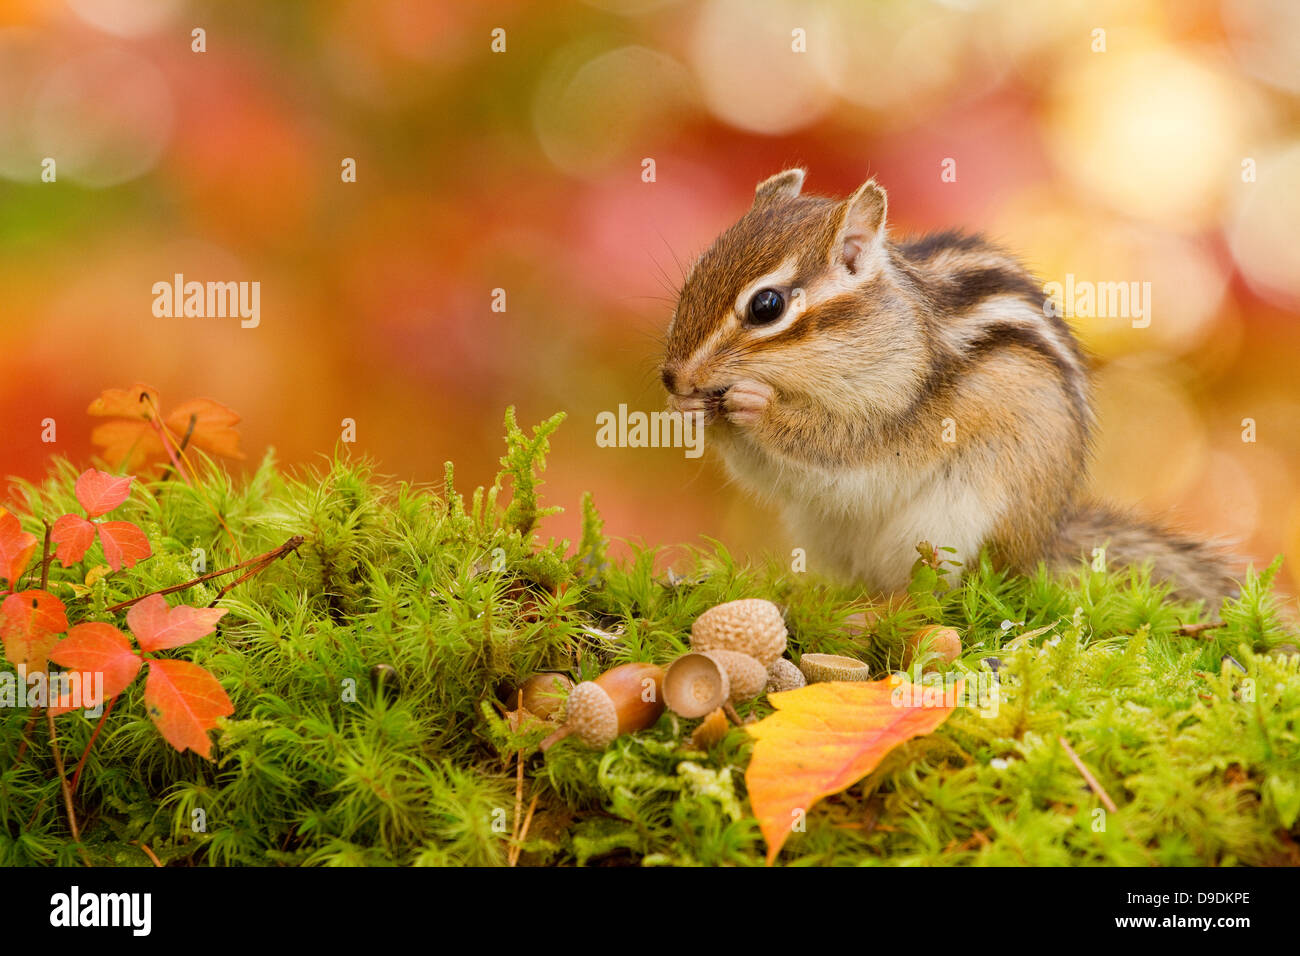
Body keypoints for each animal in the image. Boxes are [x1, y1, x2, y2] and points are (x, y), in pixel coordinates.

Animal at [660, 169, 1239, 606]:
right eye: (695, 274)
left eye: (767, 306)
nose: (673, 377)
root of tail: (1043, 542)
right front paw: (689, 409)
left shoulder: (897, 404)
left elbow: (837, 445)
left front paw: (754, 403)